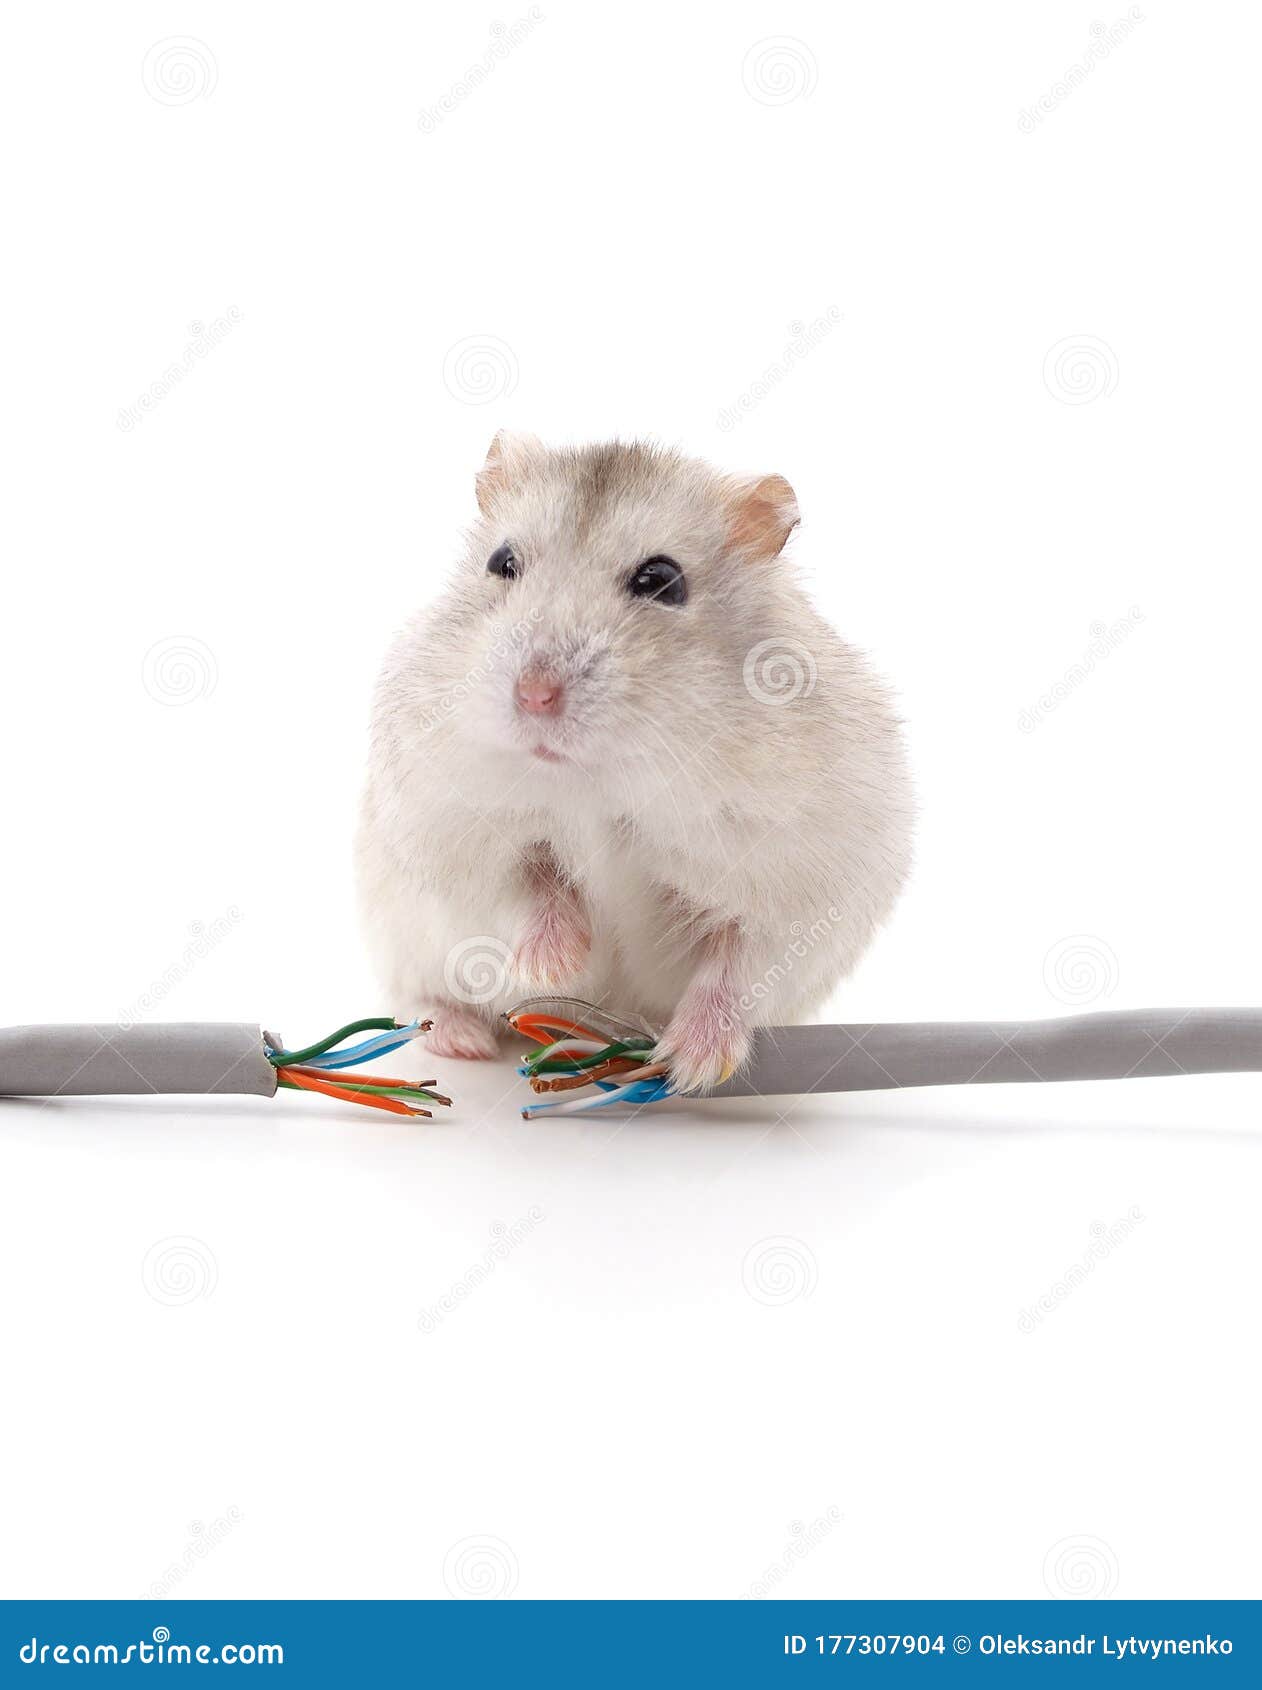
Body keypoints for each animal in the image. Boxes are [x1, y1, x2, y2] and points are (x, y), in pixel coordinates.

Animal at [356, 433, 913, 1092]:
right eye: (501, 562)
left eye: (661, 579)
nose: (535, 696)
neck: (599, 779)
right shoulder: (451, 830)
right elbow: (527, 881)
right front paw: (554, 969)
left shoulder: (797, 882)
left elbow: (738, 961)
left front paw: (692, 1063)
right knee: (414, 1000)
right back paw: (465, 1037)